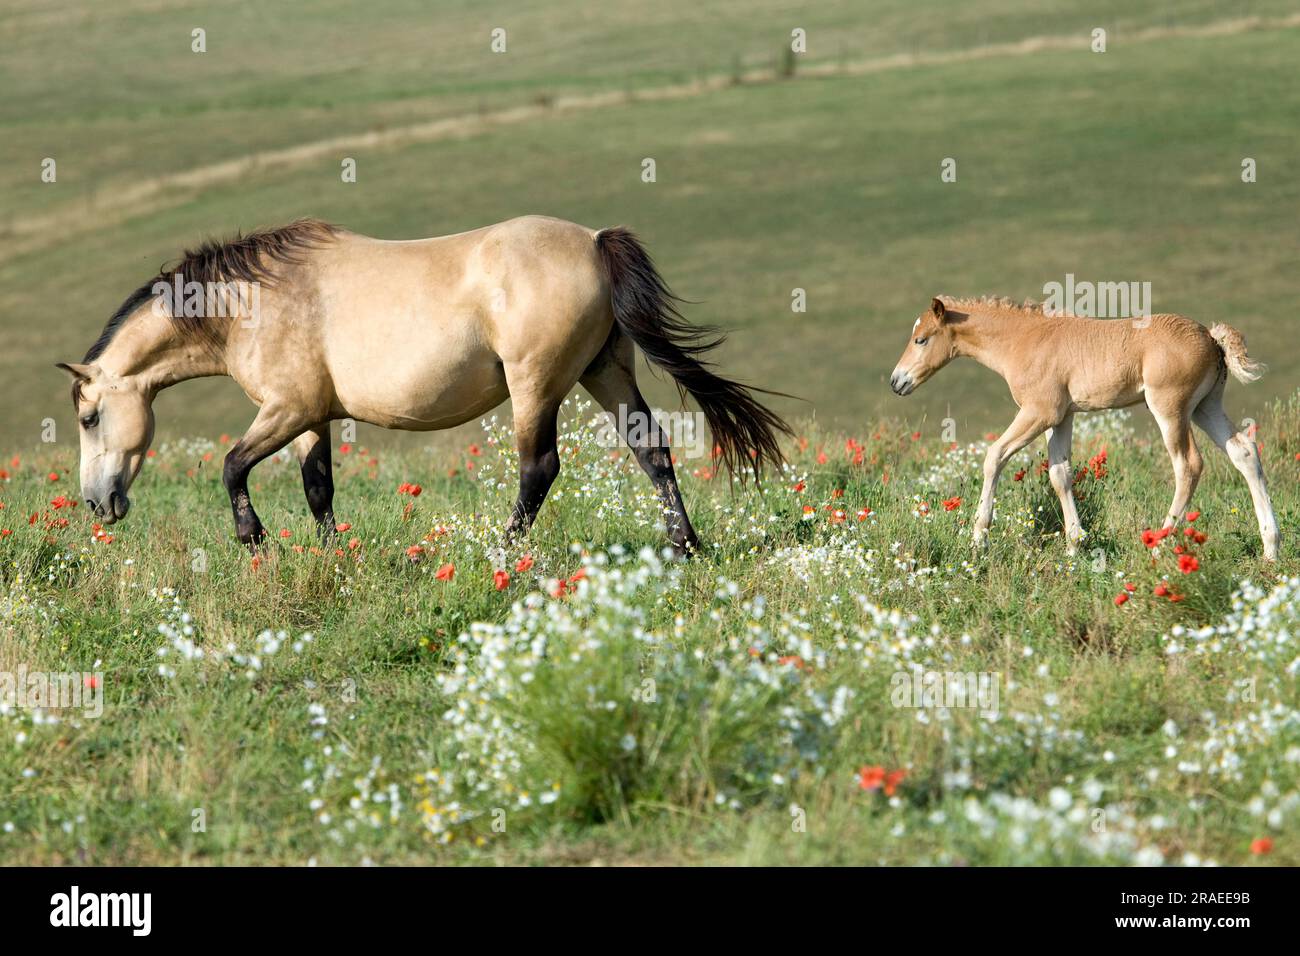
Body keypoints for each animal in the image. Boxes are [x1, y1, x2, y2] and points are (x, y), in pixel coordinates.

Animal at [58, 216, 791, 557]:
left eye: (91, 418)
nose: (98, 503)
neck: (248, 303)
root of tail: (592, 240)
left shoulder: (284, 409)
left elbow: (232, 466)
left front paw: (253, 537)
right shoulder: (310, 416)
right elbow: (318, 487)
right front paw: (332, 555)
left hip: (537, 385)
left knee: (539, 468)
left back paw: (503, 551)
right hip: (604, 372)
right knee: (654, 453)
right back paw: (685, 546)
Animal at [889, 295, 1280, 561]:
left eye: (921, 339)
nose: (897, 381)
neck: (1024, 340)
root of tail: (1211, 338)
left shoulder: (1039, 412)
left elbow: (994, 456)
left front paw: (978, 538)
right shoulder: (1061, 417)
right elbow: (1060, 473)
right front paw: (1074, 546)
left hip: (1171, 408)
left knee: (1189, 465)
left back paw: (1160, 543)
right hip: (1205, 406)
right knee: (1245, 452)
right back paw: (1271, 547)